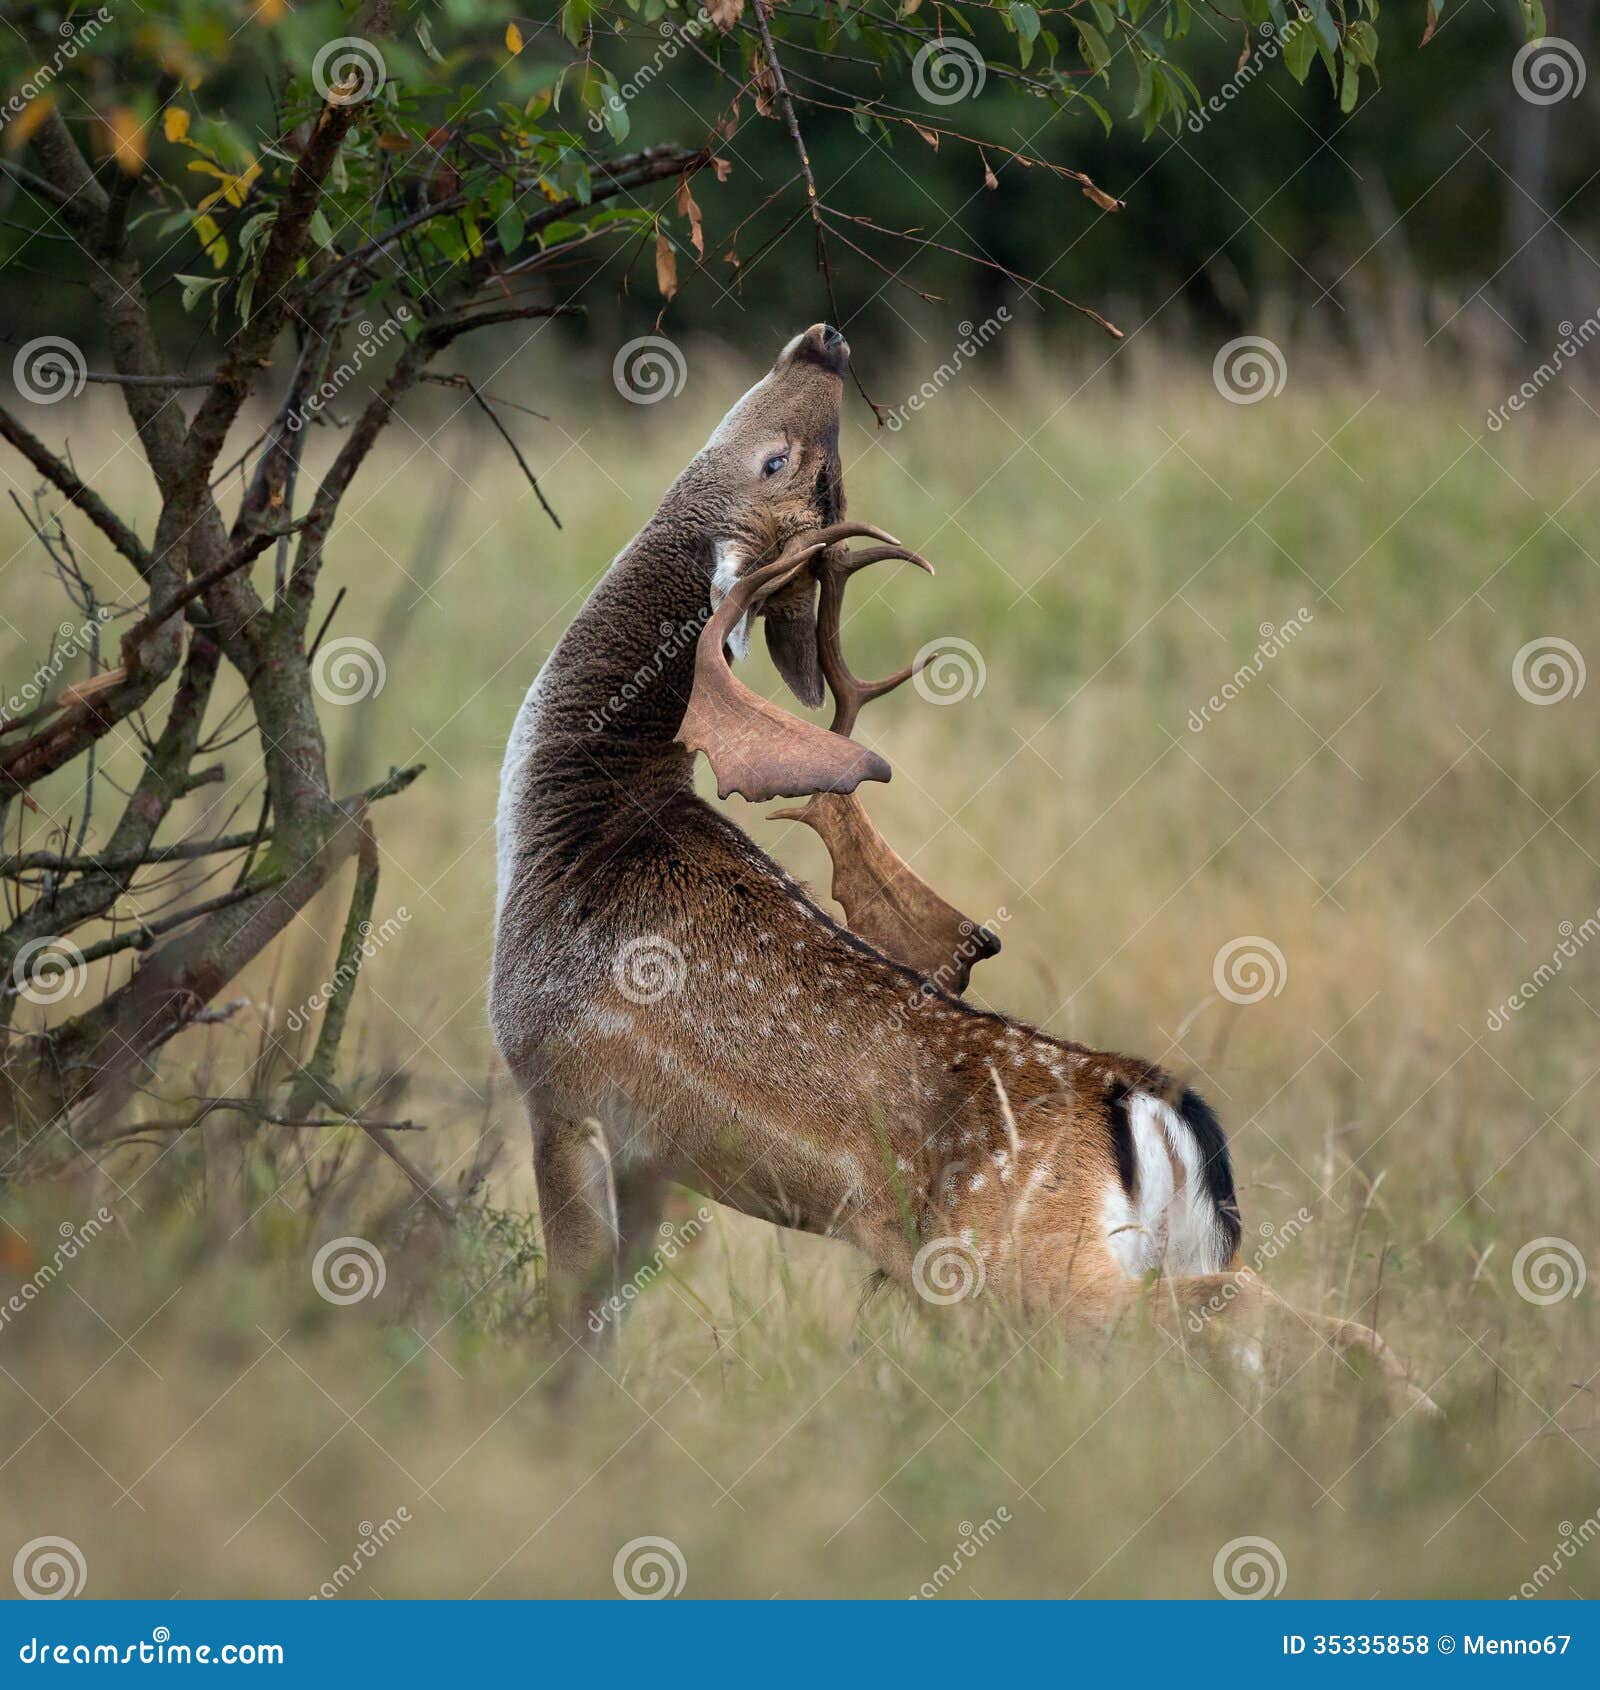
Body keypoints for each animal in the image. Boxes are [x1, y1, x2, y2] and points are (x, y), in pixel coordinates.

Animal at [490, 324, 1438, 1418]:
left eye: (781, 462)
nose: (825, 341)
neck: (557, 832)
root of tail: (1153, 1105)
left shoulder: (555, 1080)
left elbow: (572, 1317)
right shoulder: (647, 1153)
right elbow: (613, 1313)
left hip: (1021, 1263)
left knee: (1214, 1312)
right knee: (1297, 1314)